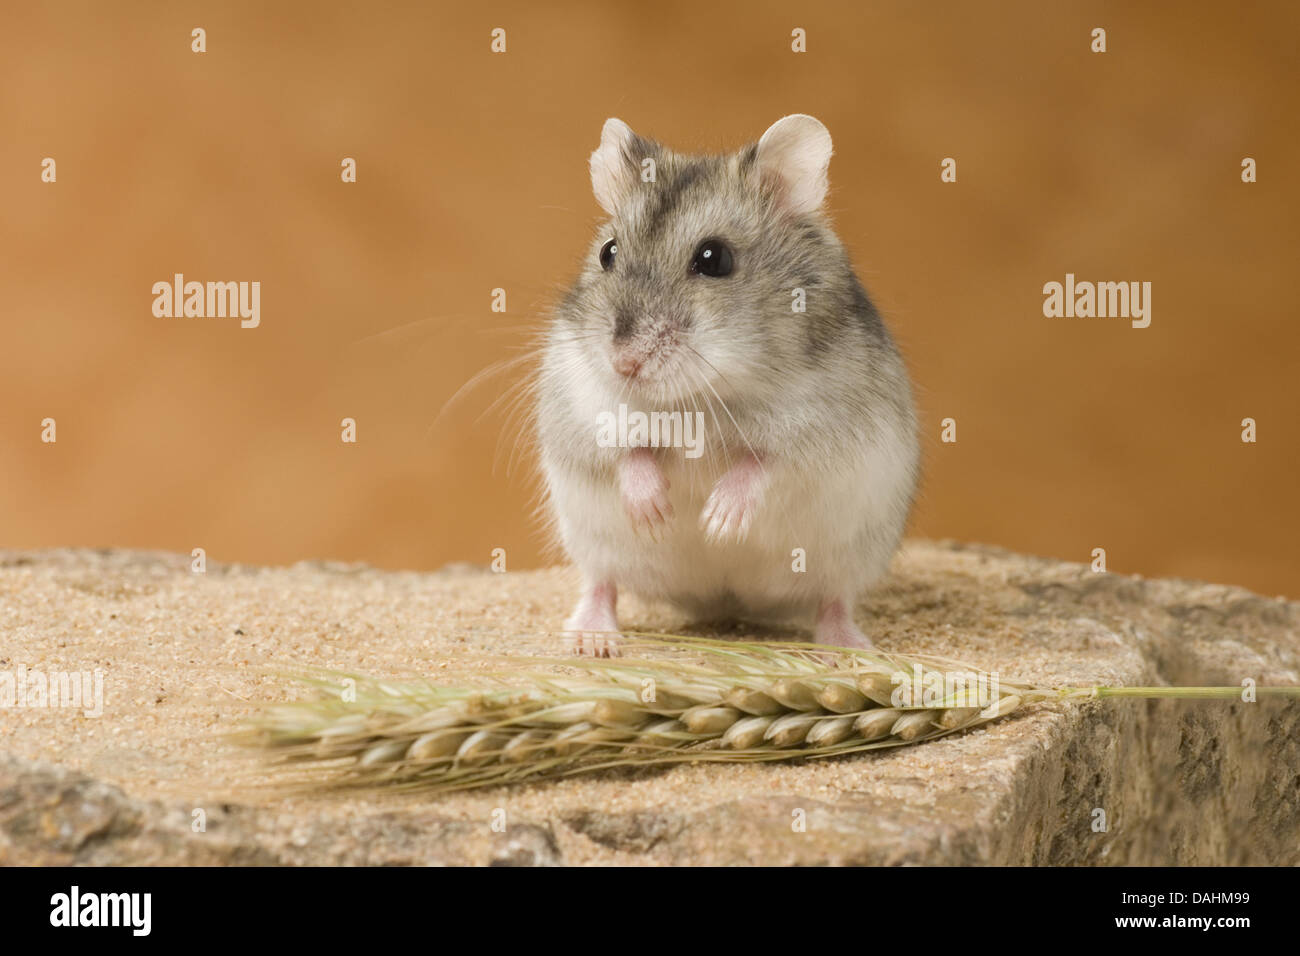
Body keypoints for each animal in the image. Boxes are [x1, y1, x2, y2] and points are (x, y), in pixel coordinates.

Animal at [537, 114, 920, 656]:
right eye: (608, 253)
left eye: (714, 259)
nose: (624, 363)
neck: (696, 398)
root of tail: (725, 601)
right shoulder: (582, 405)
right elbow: (626, 452)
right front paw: (656, 512)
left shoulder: (825, 431)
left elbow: (762, 463)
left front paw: (717, 521)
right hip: (590, 538)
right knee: (600, 583)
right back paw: (594, 640)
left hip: (853, 553)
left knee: (833, 600)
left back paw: (847, 649)